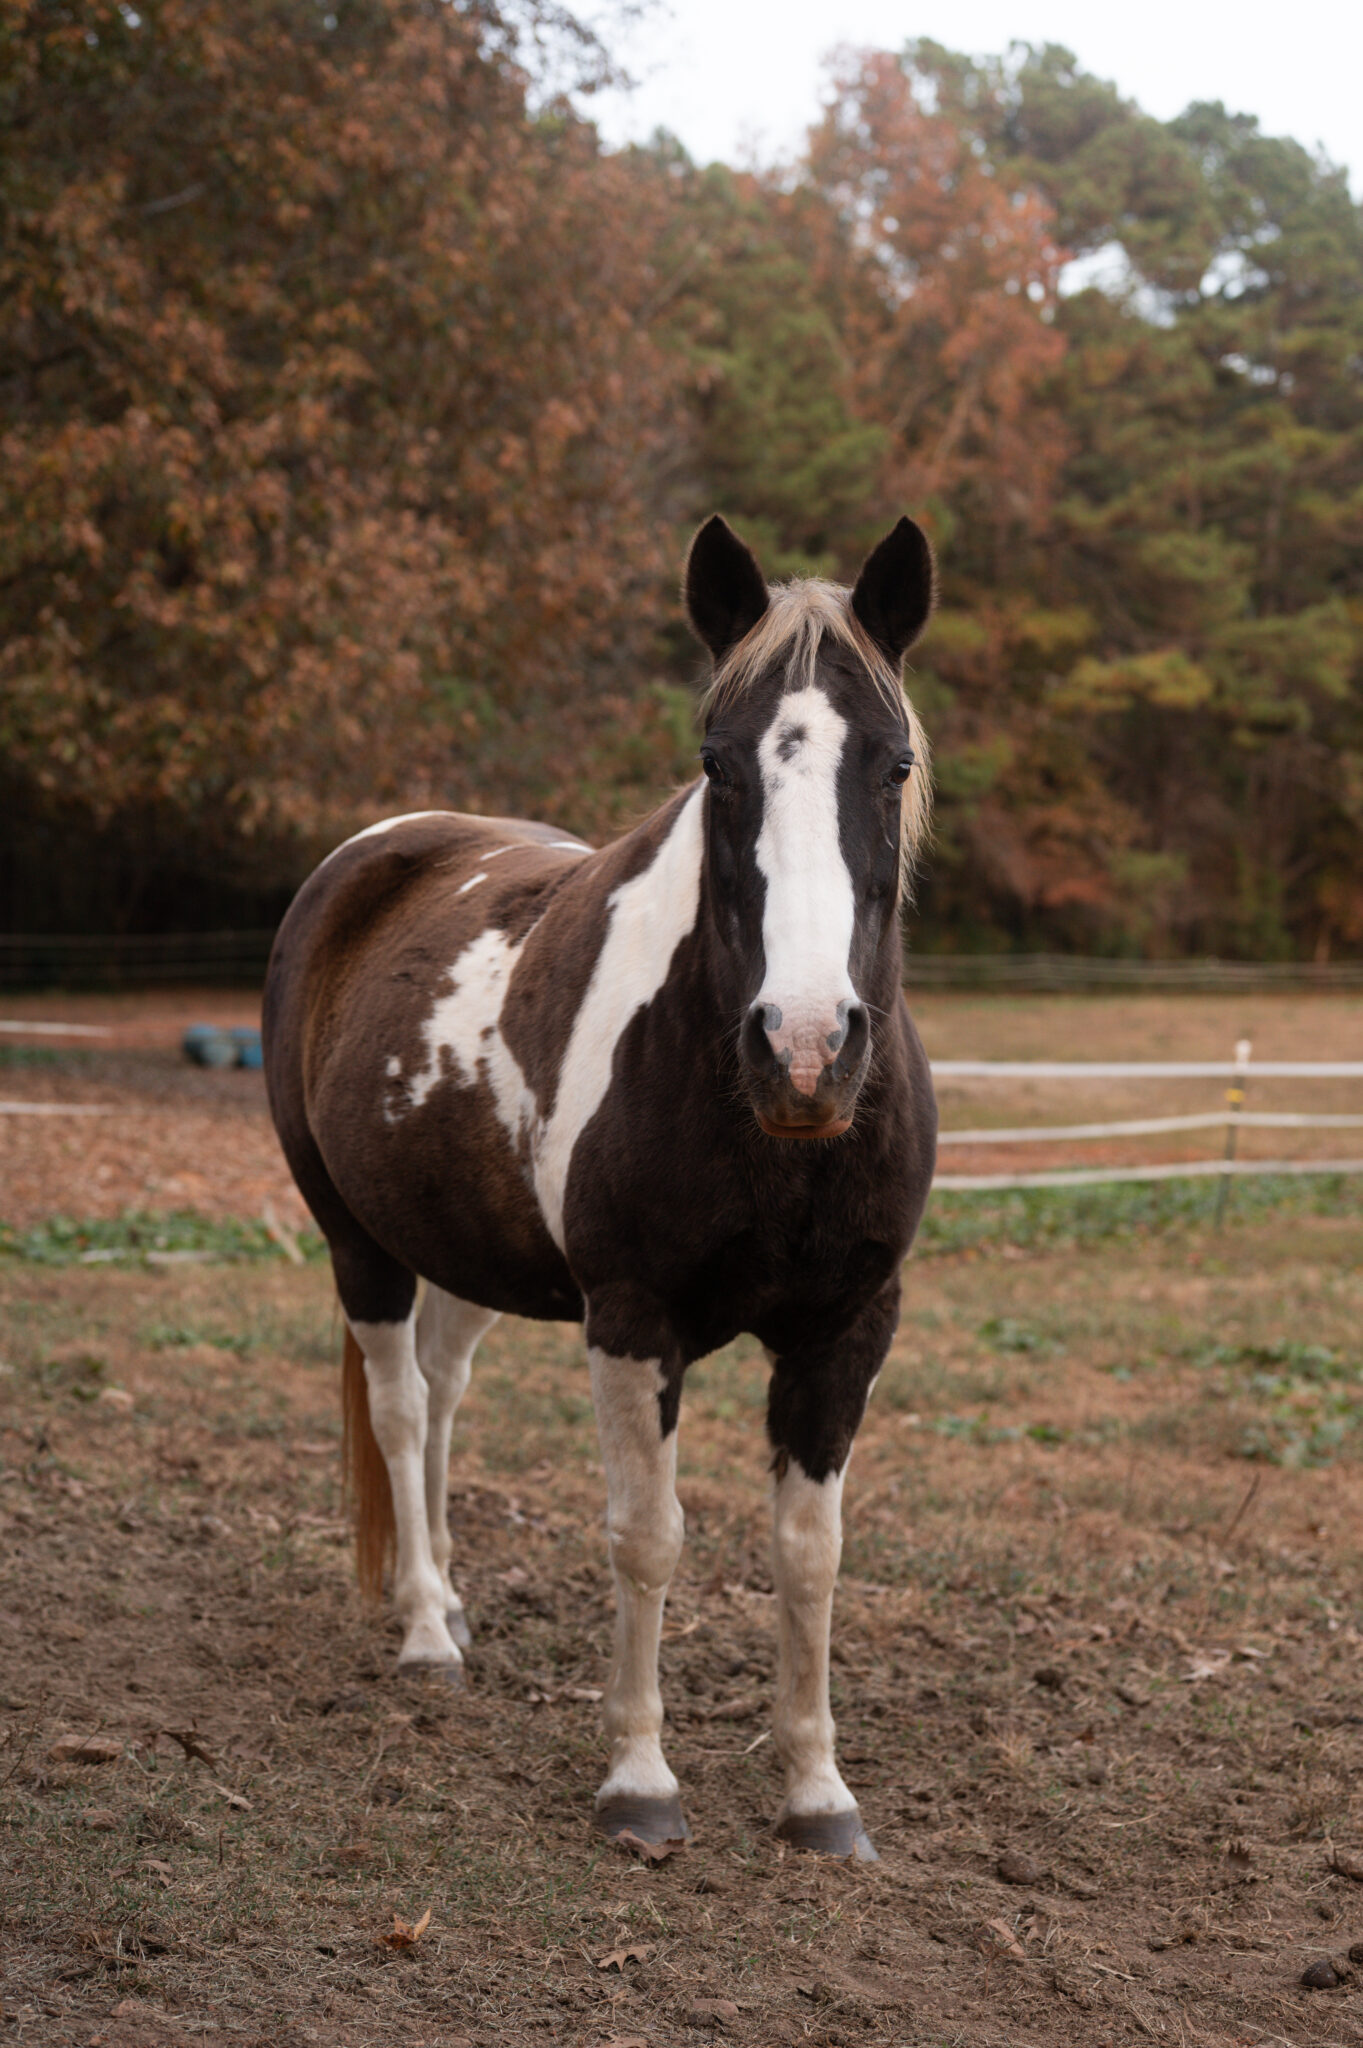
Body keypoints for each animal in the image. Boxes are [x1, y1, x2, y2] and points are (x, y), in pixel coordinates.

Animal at [262, 512, 938, 1861]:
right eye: (718, 765)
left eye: (891, 765)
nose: (802, 1045)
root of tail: (370, 854)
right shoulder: (633, 1318)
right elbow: (649, 1534)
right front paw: (637, 1777)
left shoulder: (847, 1328)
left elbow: (810, 1554)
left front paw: (817, 1792)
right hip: (358, 1242)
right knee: (401, 1408)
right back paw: (425, 1627)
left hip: (465, 1256)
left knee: (444, 1394)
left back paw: (450, 1597)